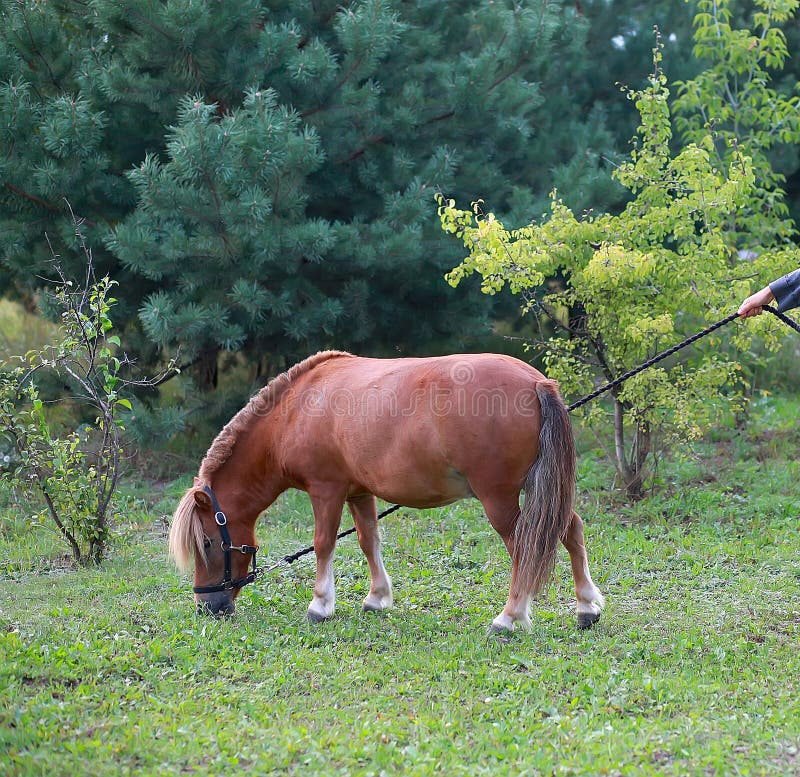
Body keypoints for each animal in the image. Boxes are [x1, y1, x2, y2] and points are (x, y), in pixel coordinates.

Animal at [169, 350, 605, 631]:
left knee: (523, 549)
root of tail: (536, 382)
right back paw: (587, 606)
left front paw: (320, 605)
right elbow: (368, 540)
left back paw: (510, 618)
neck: (298, 409)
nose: (207, 606)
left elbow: (324, 543)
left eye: (207, 543)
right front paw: (377, 598)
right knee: (571, 530)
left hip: (498, 498)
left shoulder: (325, 490)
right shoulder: (358, 492)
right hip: (543, 492)